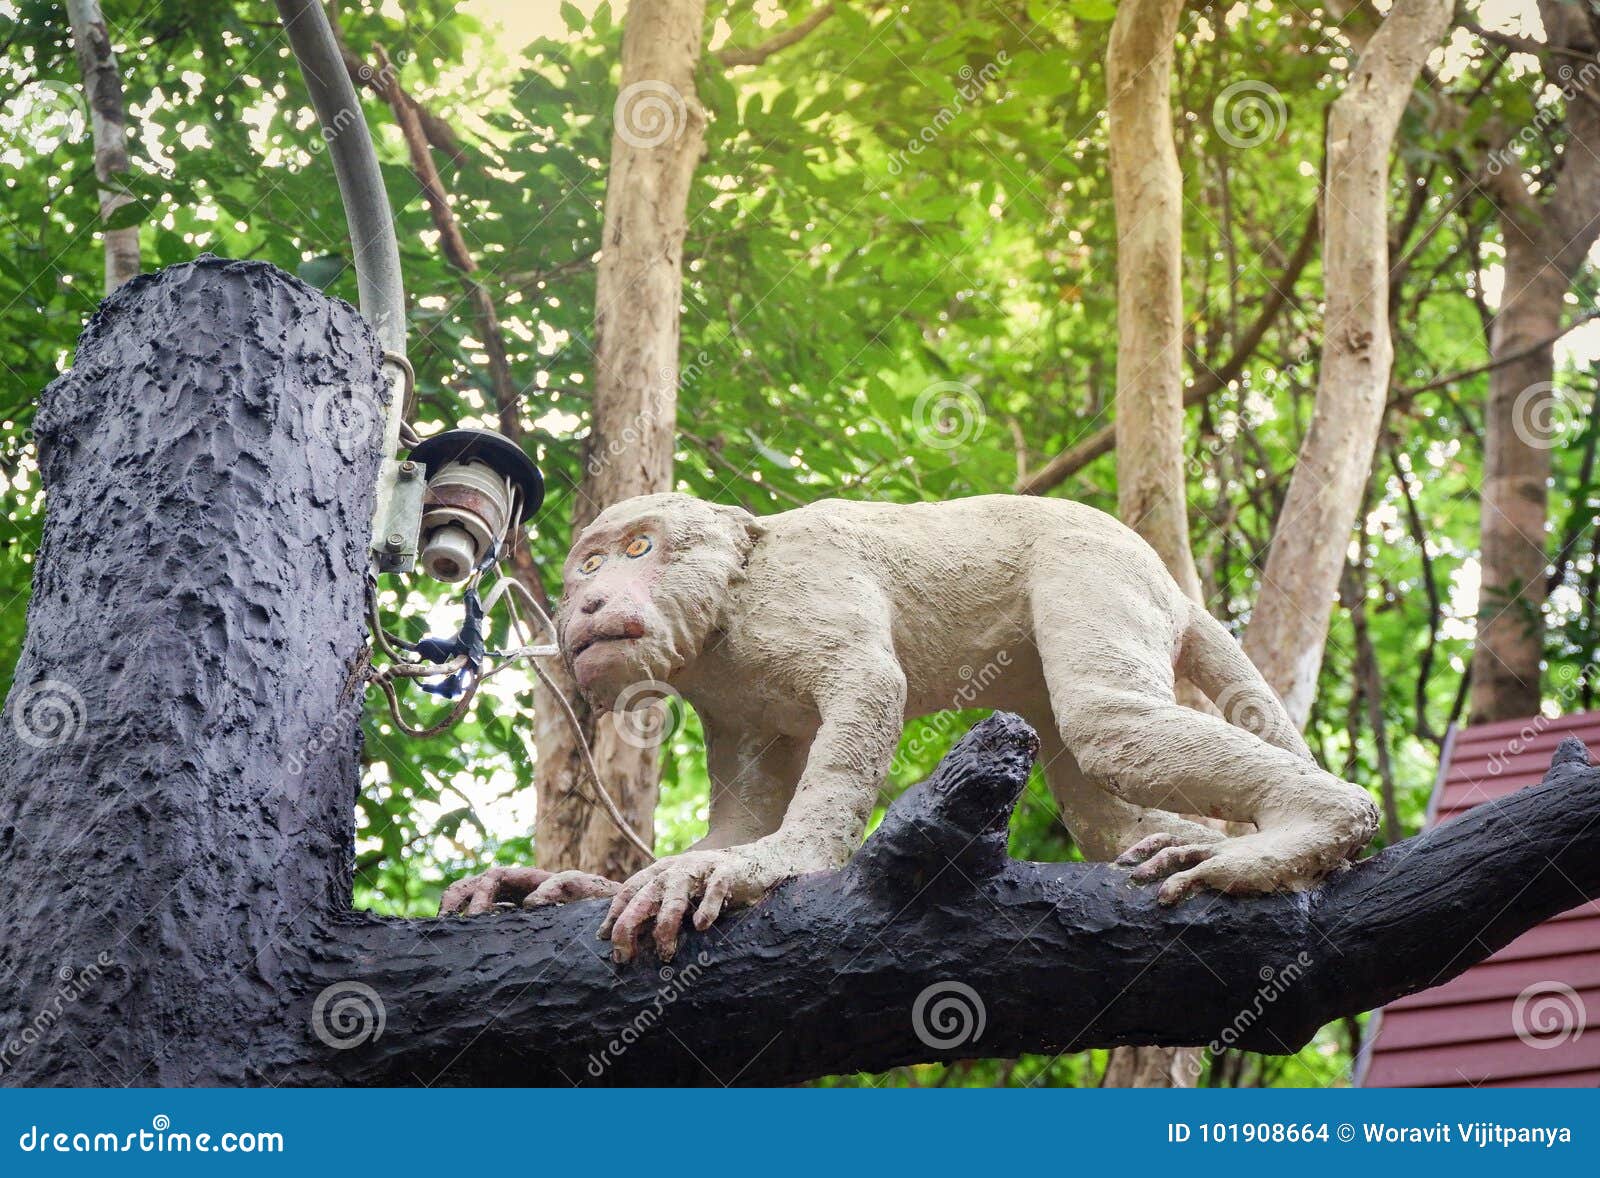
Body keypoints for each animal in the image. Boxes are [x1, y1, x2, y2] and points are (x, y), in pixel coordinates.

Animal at [441, 492, 1378, 965]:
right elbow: (742, 807)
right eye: (588, 566)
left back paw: (1320, 822)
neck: (725, 605)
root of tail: (1165, 577)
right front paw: (588, 881)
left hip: (1096, 563)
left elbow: (867, 688)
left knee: (1108, 720)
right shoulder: (728, 698)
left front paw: (770, 864)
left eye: (639, 549)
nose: (590, 603)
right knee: (1097, 785)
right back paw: (1190, 839)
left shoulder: (799, 587)